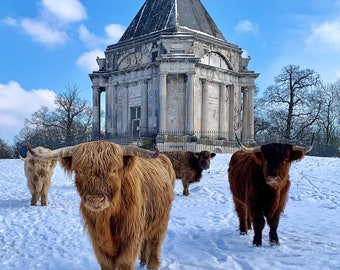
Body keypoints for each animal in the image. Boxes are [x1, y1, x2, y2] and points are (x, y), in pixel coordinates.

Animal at [27, 141, 175, 270]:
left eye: (114, 170)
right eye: (80, 171)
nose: (96, 200)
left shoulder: (131, 238)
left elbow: (125, 263)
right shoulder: (97, 241)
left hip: (161, 221)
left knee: (155, 243)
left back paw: (151, 265)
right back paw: (143, 262)